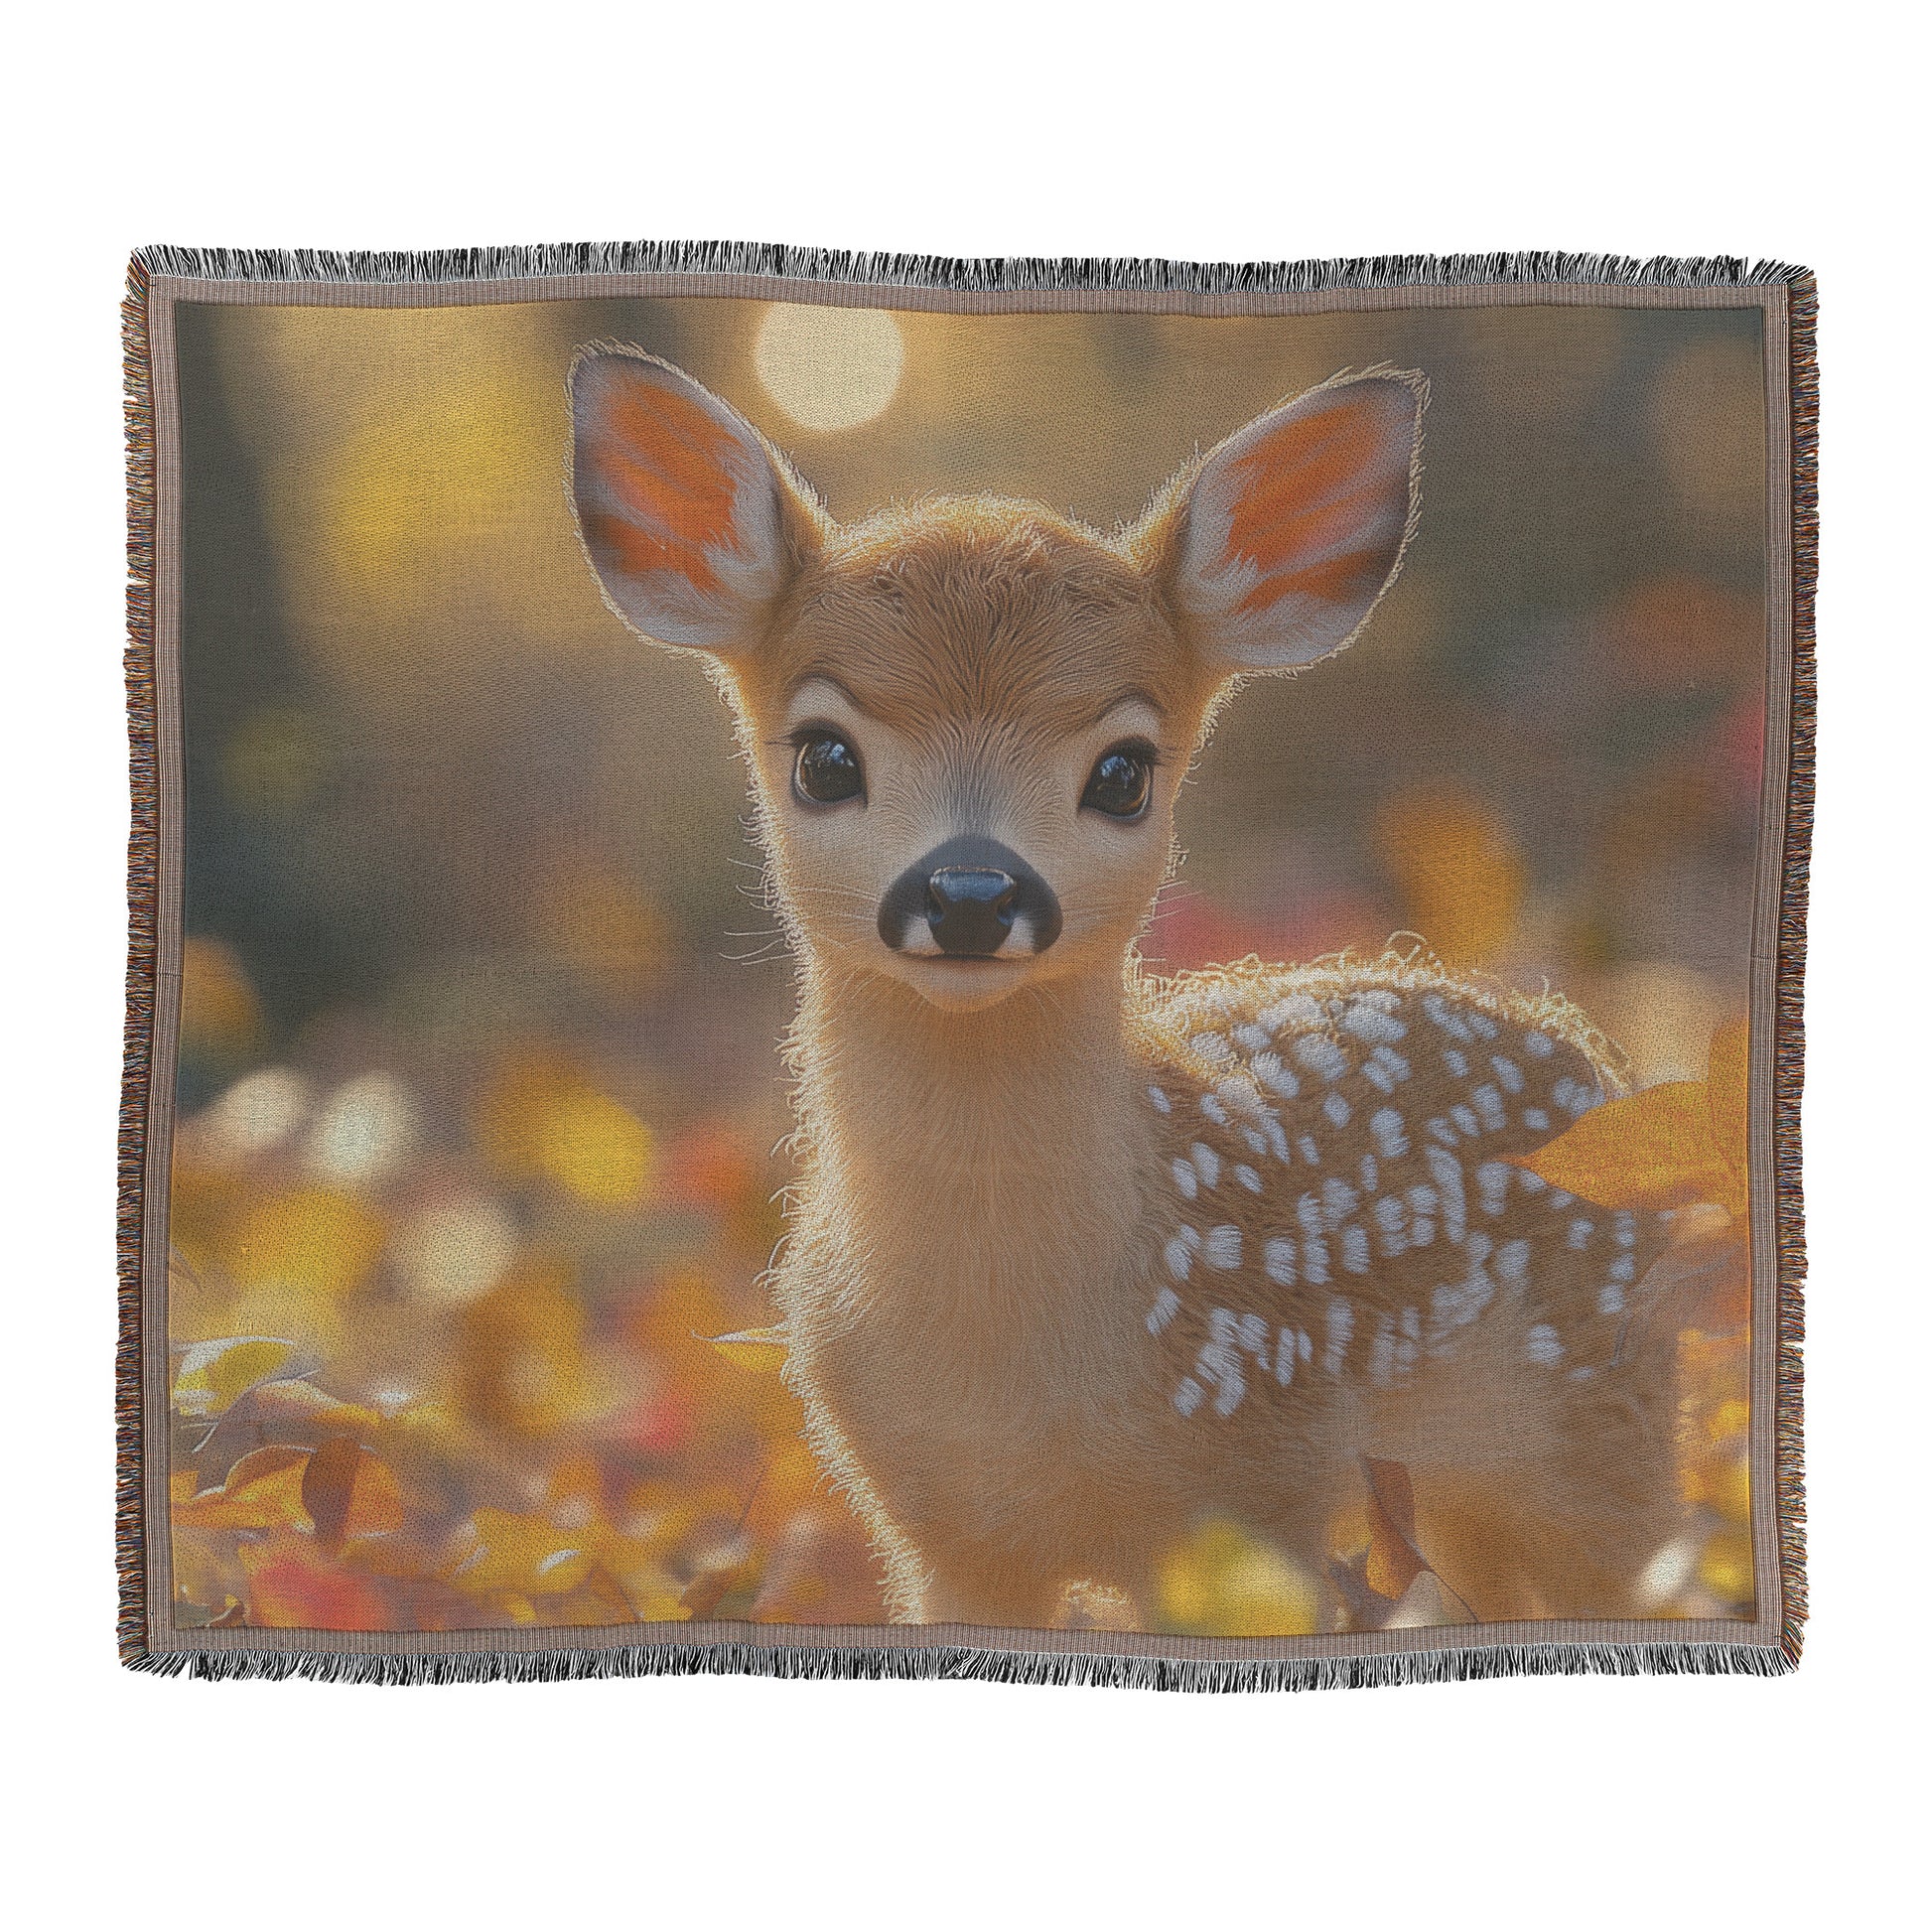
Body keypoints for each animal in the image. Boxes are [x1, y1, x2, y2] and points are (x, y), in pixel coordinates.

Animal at [566, 341, 1706, 1634]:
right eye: (824, 756)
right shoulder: (938, 1527)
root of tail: (1578, 1046)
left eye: (1122, 770)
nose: (970, 890)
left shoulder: (1259, 1470)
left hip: (1601, 1406)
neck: (1011, 1368)